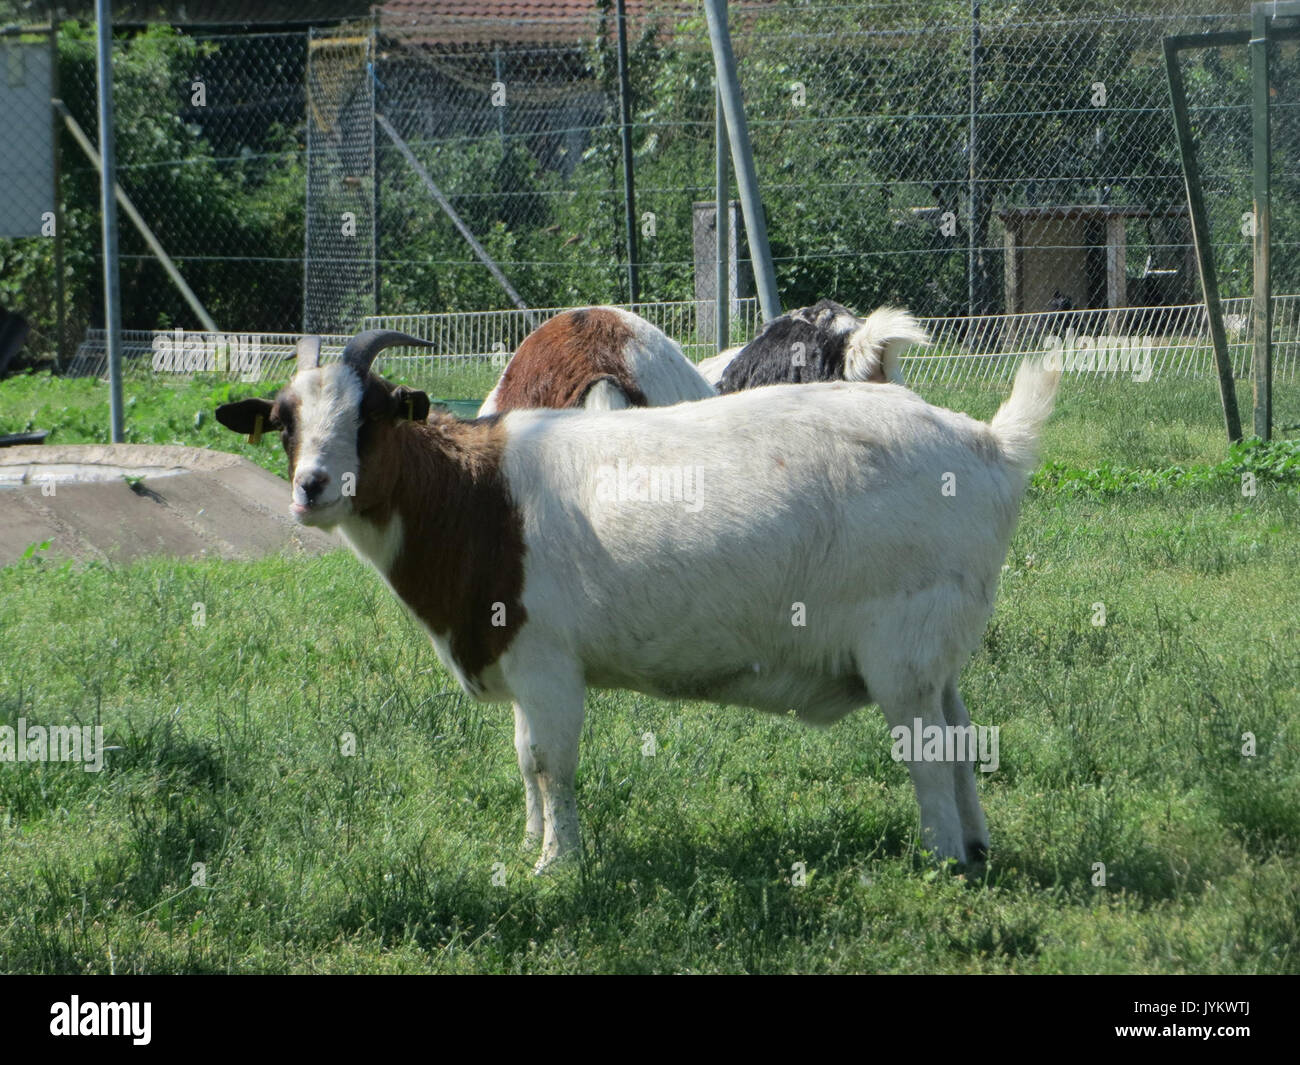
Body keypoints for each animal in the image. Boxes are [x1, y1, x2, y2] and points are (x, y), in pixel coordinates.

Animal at [215, 330, 1059, 873]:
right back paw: (977, 846)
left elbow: (550, 762)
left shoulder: (548, 661)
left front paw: (557, 866)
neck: (474, 497)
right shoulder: (519, 662)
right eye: (284, 423)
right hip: (937, 646)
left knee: (928, 747)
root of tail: (993, 445)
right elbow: (523, 758)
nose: (312, 488)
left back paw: (940, 859)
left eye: (374, 414)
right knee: (961, 733)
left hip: (901, 645)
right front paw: (528, 844)